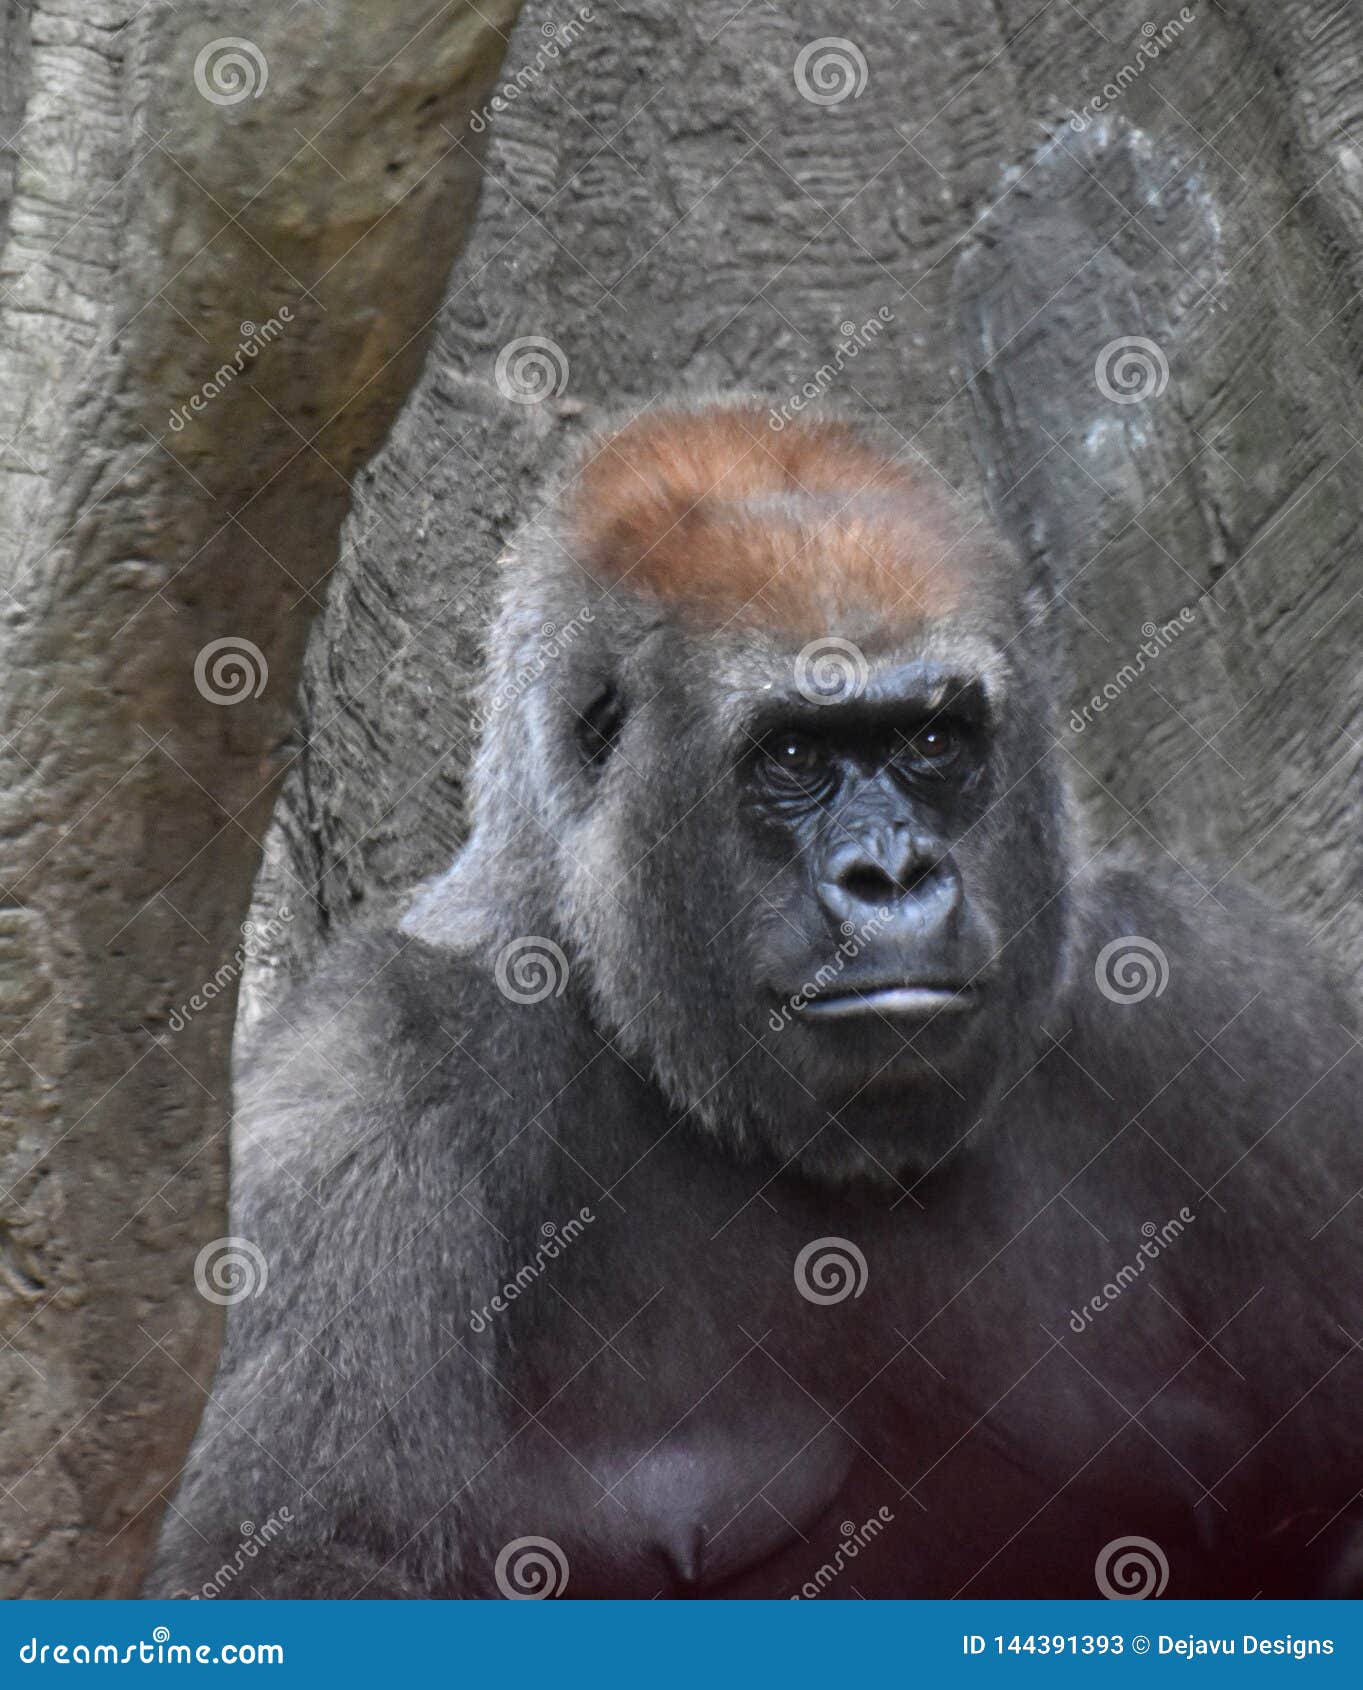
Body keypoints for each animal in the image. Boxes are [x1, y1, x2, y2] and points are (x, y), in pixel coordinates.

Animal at [148, 397, 1363, 1600]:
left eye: (931, 739)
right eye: (792, 756)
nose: (890, 874)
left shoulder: (1235, 998)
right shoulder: (362, 1076)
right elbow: (287, 1558)